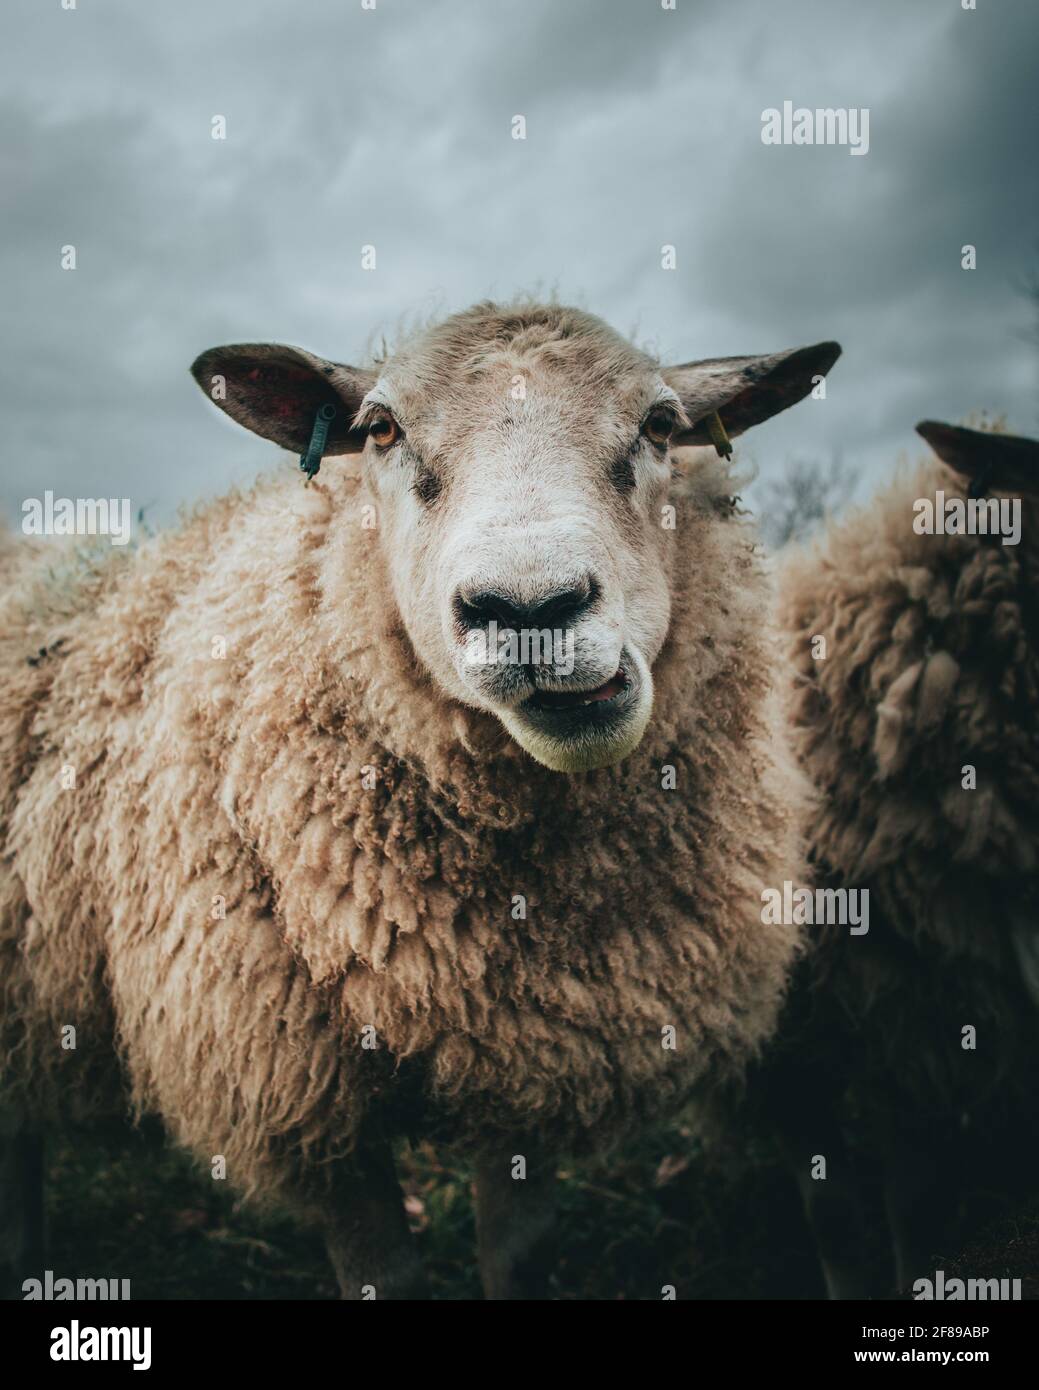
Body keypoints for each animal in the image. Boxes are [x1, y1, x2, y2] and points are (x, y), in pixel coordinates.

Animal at [0, 301, 840, 1299]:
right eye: (380, 430)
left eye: (663, 424)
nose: (529, 611)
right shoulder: (299, 1100)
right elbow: (386, 1277)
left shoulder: (532, 1061)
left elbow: (518, 1255)